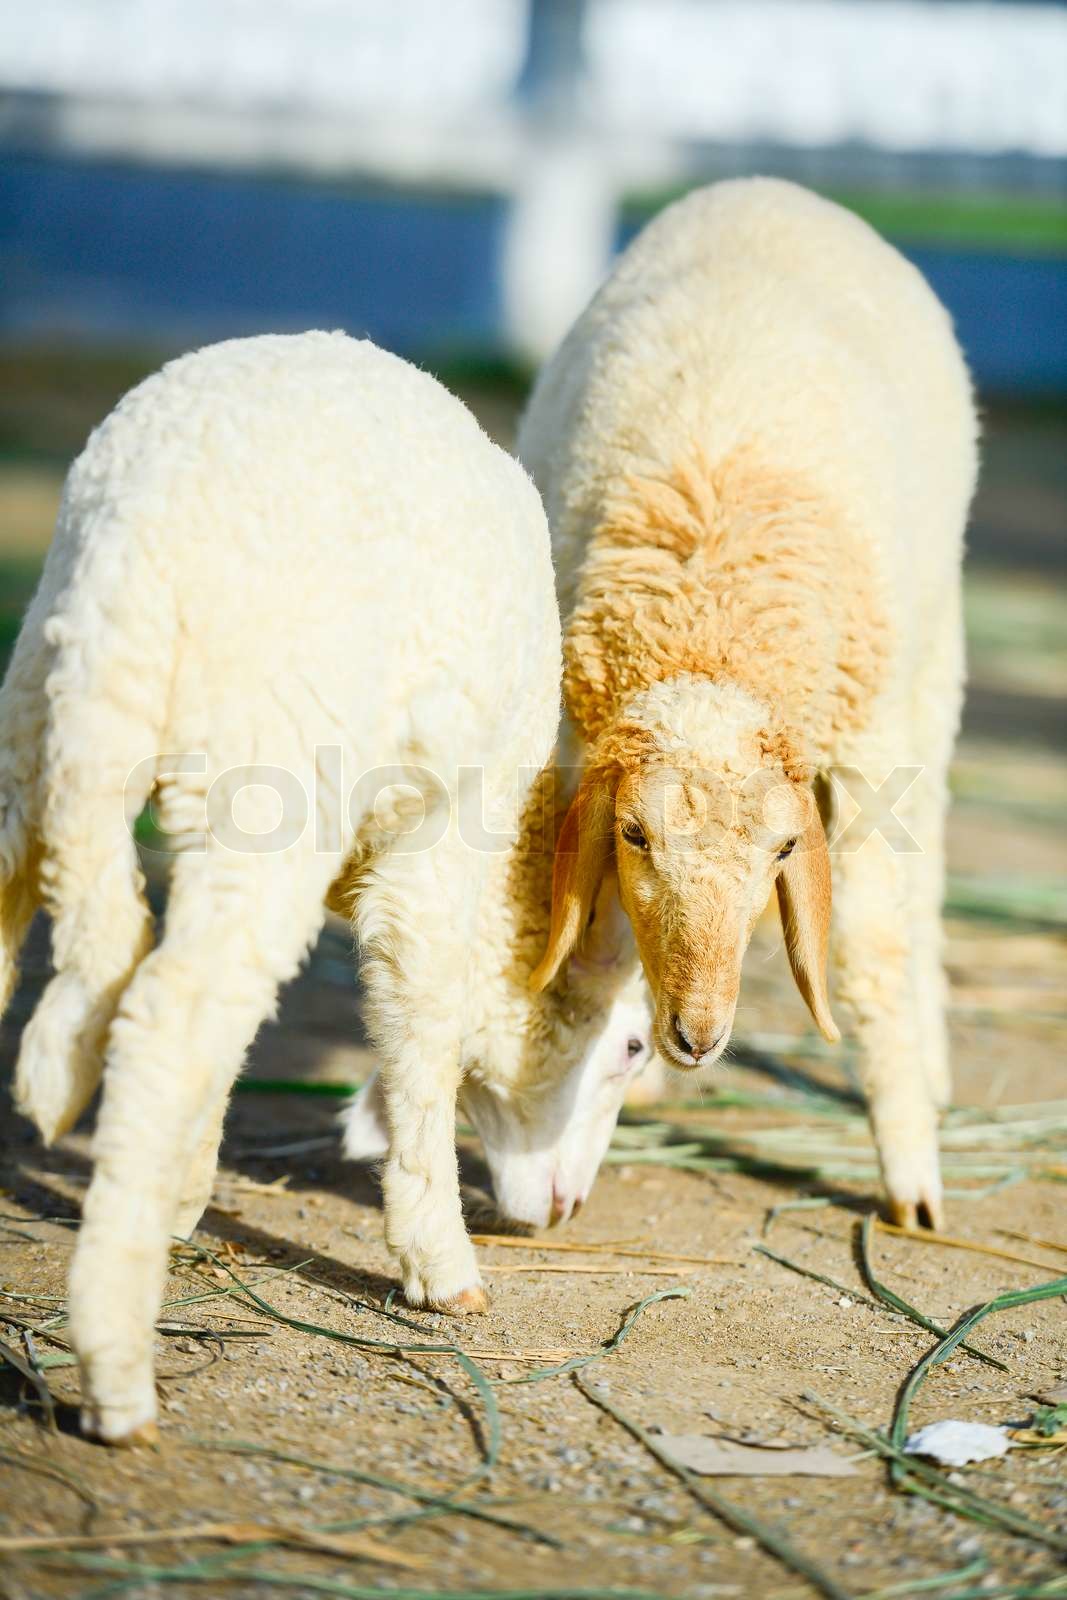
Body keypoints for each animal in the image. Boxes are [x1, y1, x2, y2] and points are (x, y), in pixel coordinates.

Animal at [0, 330, 652, 1445]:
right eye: (631, 1049)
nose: (568, 1213)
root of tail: (132, 552)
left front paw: (185, 1187)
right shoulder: (441, 837)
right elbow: (418, 1023)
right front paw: (439, 1262)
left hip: (38, 719)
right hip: (264, 764)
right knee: (168, 1023)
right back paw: (117, 1375)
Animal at [518, 178, 979, 1232]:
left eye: (781, 850)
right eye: (633, 836)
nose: (695, 1035)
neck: (711, 623)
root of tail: (772, 188)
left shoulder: (864, 748)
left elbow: (869, 953)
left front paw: (911, 1175)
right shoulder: (576, 740)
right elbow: (596, 948)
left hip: (930, 673)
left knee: (925, 879)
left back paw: (932, 1071)